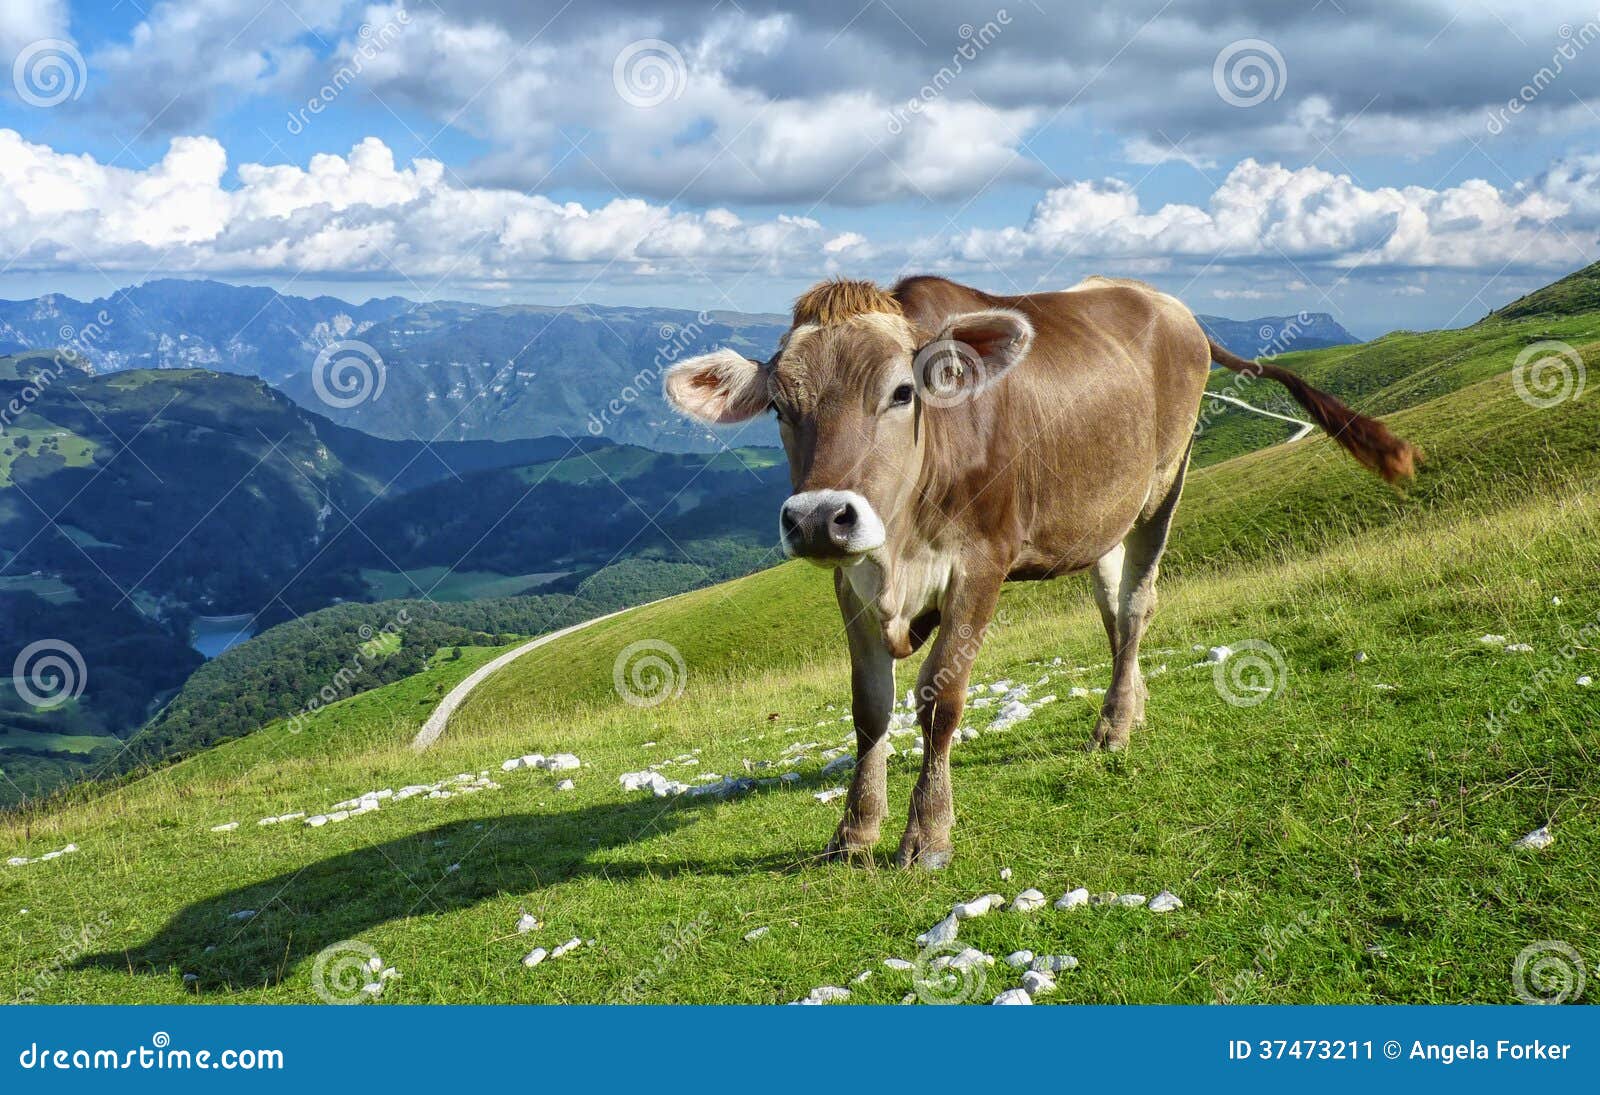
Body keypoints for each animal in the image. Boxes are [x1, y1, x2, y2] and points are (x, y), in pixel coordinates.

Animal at [663, 275, 1418, 869]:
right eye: (779, 406)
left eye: (903, 392)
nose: (821, 517)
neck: (901, 550)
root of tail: (1170, 305)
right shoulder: (851, 577)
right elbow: (869, 706)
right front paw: (854, 830)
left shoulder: (982, 561)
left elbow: (940, 698)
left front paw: (927, 834)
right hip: (1101, 512)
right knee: (1114, 606)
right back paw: (1131, 705)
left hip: (1163, 485)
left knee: (1138, 604)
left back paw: (1112, 727)